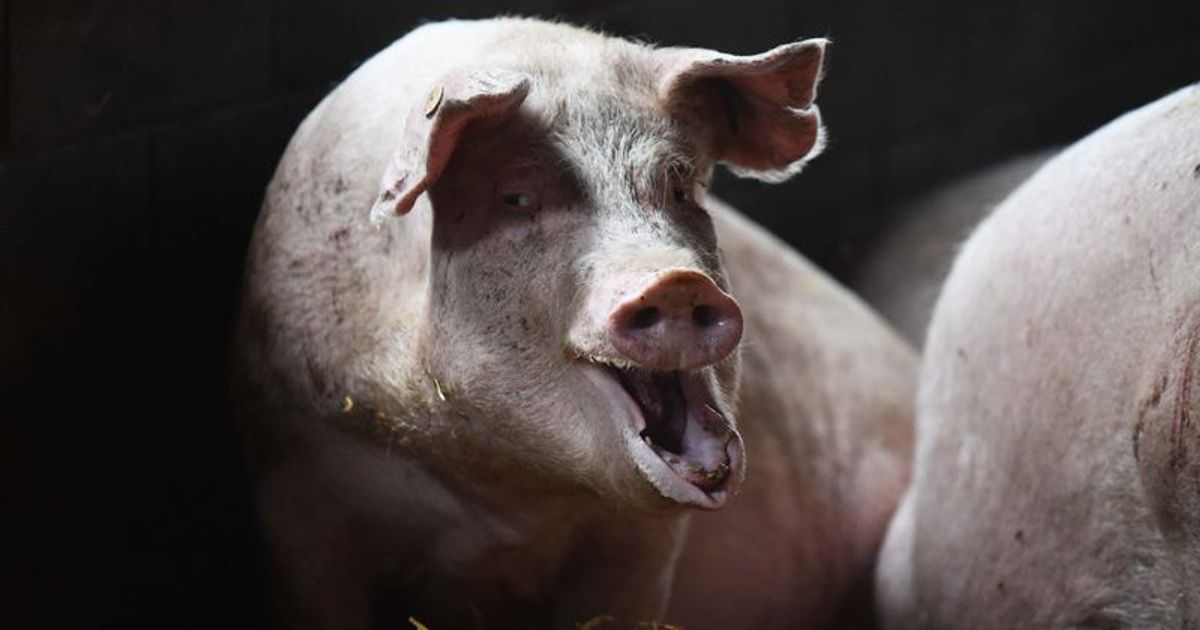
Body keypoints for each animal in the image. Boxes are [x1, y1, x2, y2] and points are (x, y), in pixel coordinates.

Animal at [234, 17, 916, 629]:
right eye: (516, 199)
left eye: (680, 187)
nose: (676, 282)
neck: (503, 492)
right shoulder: (293, 499)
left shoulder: (644, 546)